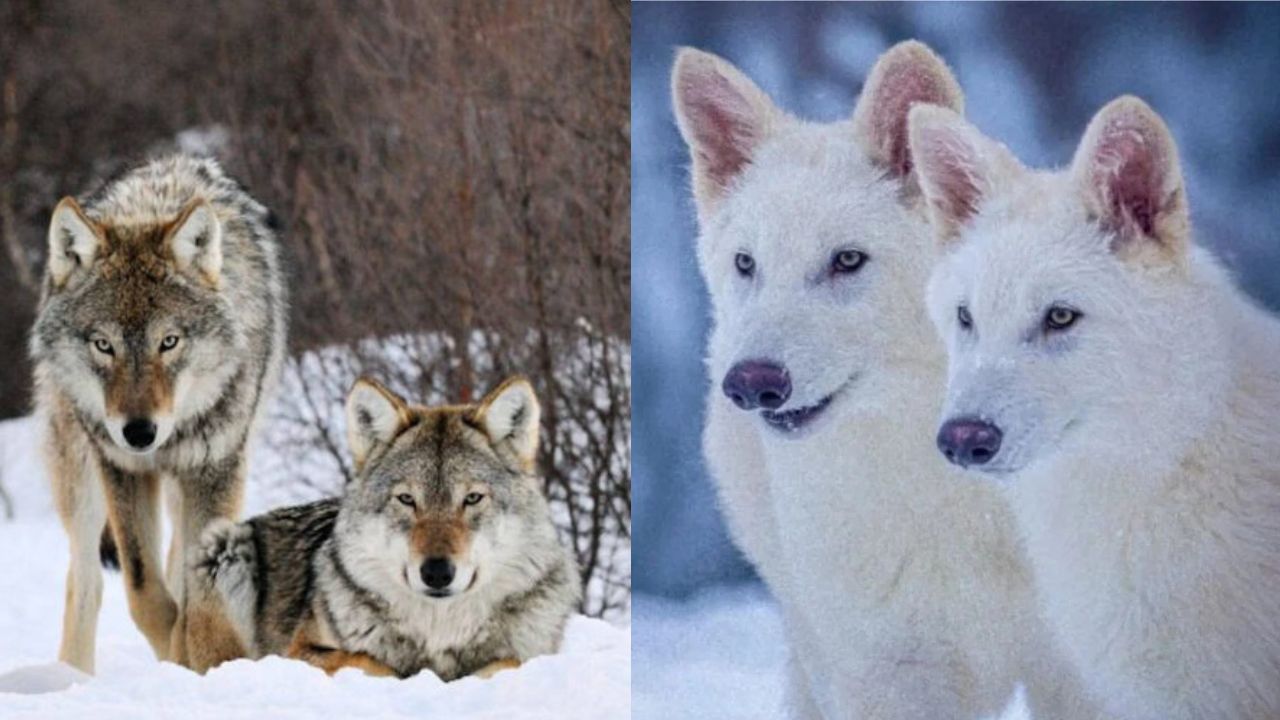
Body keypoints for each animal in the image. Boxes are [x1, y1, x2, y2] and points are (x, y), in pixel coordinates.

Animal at [29, 155, 288, 673]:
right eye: (103, 344)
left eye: (169, 342)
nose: (139, 432)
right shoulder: (122, 468)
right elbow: (144, 590)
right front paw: (175, 653)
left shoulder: (216, 467)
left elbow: (196, 593)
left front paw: (197, 661)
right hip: (80, 474)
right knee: (85, 580)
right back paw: (73, 676)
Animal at [192, 376, 581, 680]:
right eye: (407, 499)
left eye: (472, 498)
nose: (436, 572)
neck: (439, 632)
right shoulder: (299, 651)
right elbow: (370, 661)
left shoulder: (532, 654)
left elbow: (508, 662)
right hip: (223, 547)